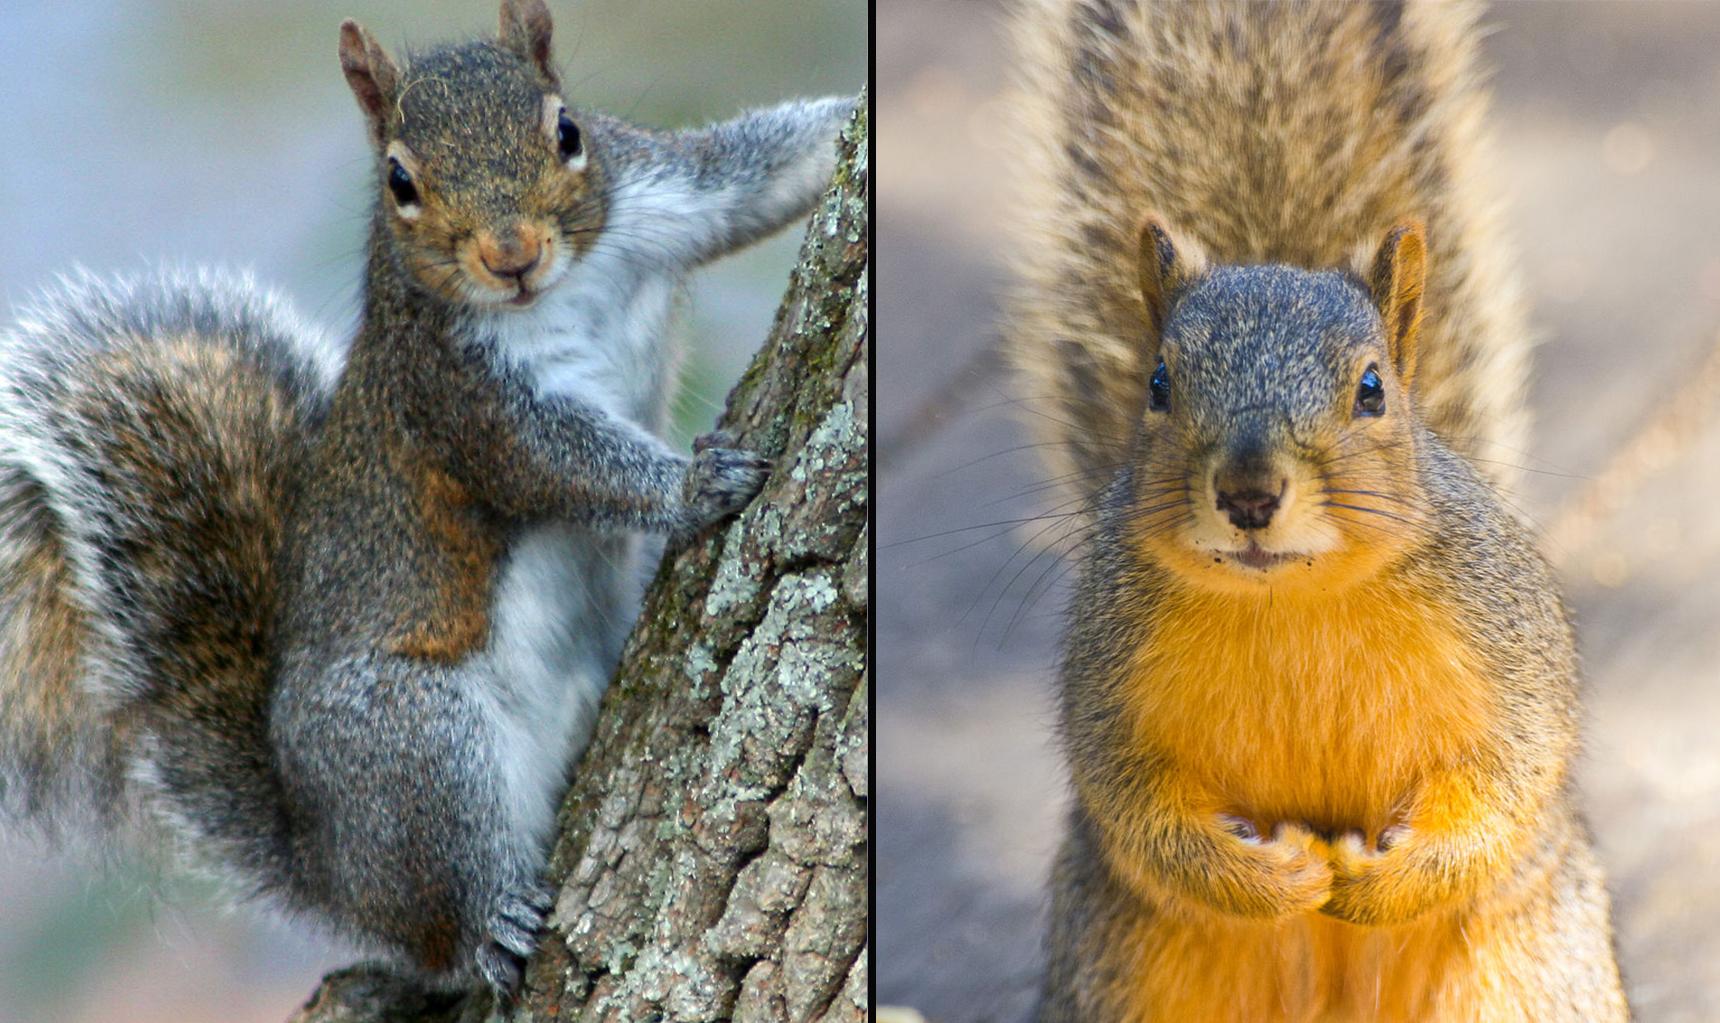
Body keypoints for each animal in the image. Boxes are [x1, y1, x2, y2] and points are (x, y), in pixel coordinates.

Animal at [0, 0, 851, 998]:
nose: (511, 255)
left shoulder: (658, 193)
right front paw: (693, 483)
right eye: (400, 181)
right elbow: (561, 462)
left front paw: (859, 118)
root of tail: (330, 866)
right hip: (415, 747)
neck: (555, 294)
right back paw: (491, 923)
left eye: (567, 131)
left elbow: (756, 171)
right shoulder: (457, 394)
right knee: (444, 910)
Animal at [1005, 3, 1629, 1020]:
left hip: (1531, 977)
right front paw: (1276, 876)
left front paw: (1379, 880)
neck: (1290, 598)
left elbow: (1509, 778)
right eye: (1157, 384)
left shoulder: (1506, 646)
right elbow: (1138, 811)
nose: (1249, 494)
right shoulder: (1110, 678)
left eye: (1372, 389)